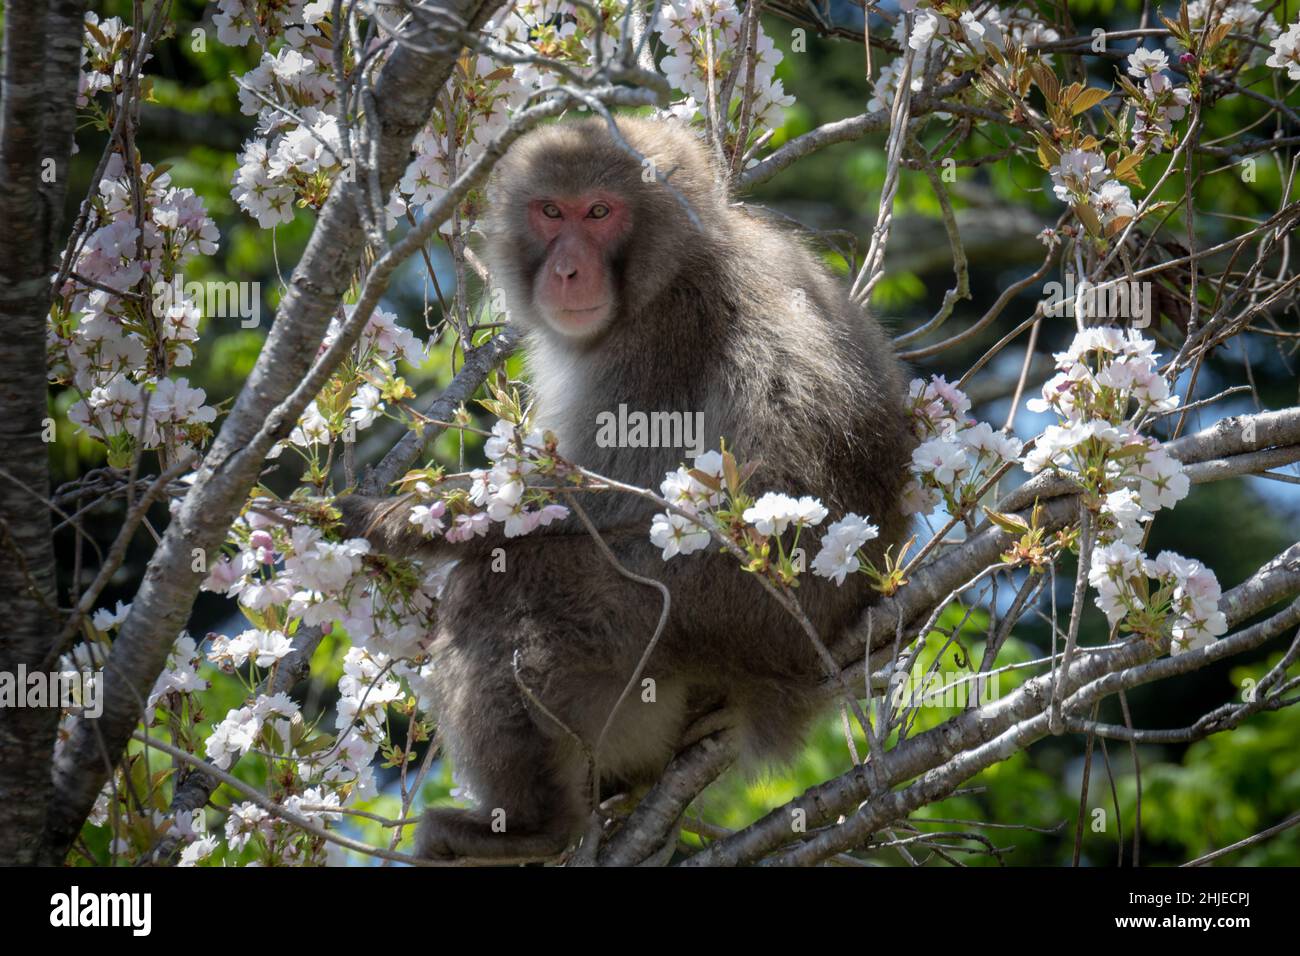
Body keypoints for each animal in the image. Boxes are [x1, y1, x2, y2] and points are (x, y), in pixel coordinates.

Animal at [339, 115, 914, 861]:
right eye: (550, 212)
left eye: (599, 213)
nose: (566, 269)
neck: (672, 268)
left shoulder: (656, 347)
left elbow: (595, 497)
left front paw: (402, 519)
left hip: (725, 618)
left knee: (510, 582)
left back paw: (533, 826)